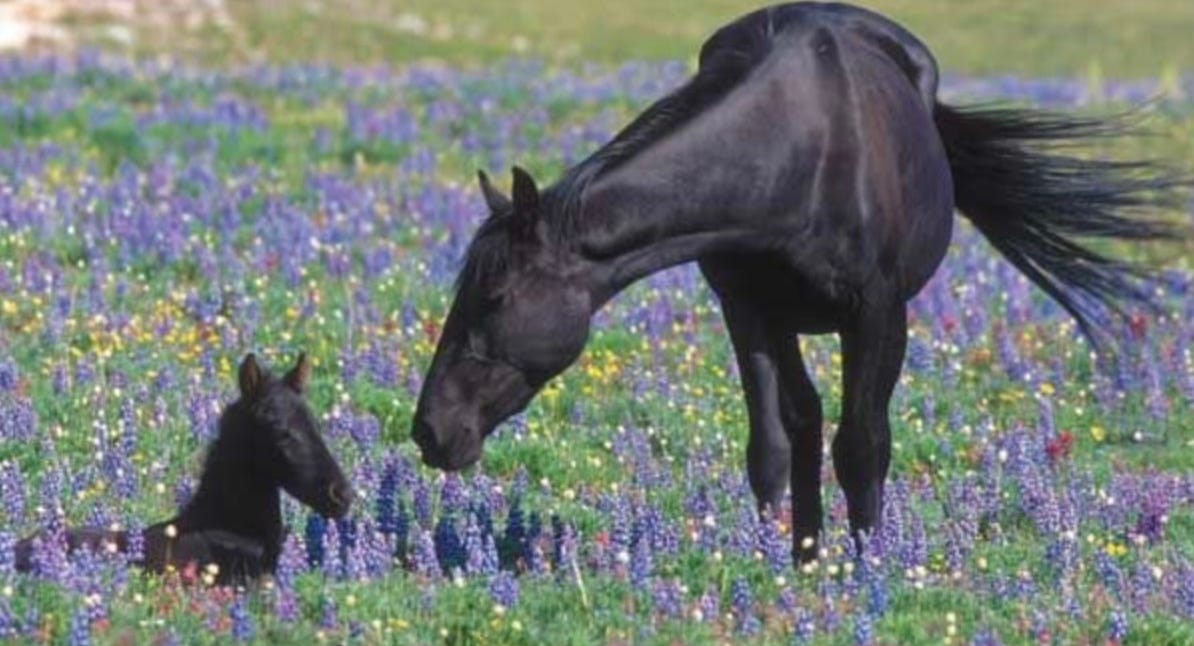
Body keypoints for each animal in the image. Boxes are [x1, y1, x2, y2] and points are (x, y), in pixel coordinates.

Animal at [411, 2, 1185, 562]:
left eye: (494, 296)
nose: (429, 430)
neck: (793, 158)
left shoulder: (877, 313)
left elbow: (863, 445)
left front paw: (871, 569)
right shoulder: (747, 307)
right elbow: (773, 446)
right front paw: (781, 565)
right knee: (804, 418)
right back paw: (808, 554)